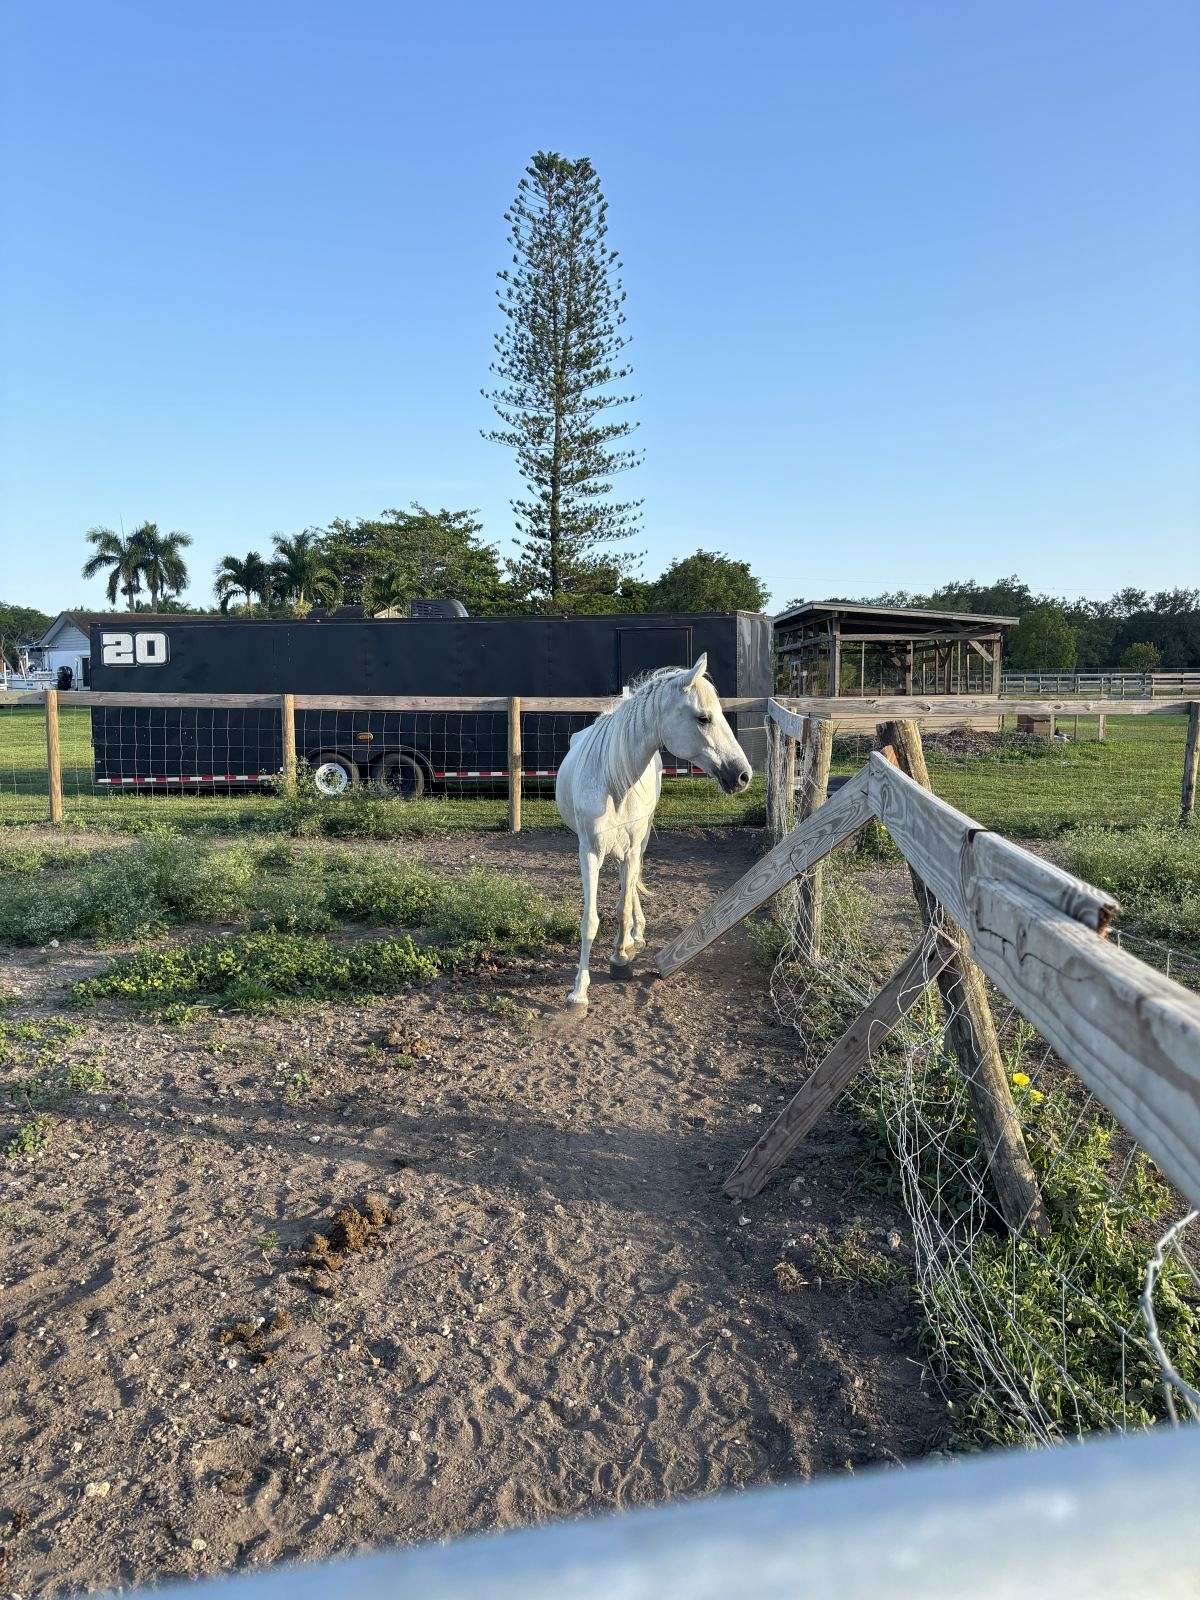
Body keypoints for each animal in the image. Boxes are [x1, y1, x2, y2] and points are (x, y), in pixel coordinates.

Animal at [555, 654, 753, 1009]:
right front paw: (579, 991)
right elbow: (590, 920)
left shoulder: (633, 847)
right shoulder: (589, 852)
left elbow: (622, 907)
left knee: (630, 884)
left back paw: (636, 936)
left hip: (640, 841)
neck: (614, 782)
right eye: (703, 718)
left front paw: (621, 959)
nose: (743, 775)